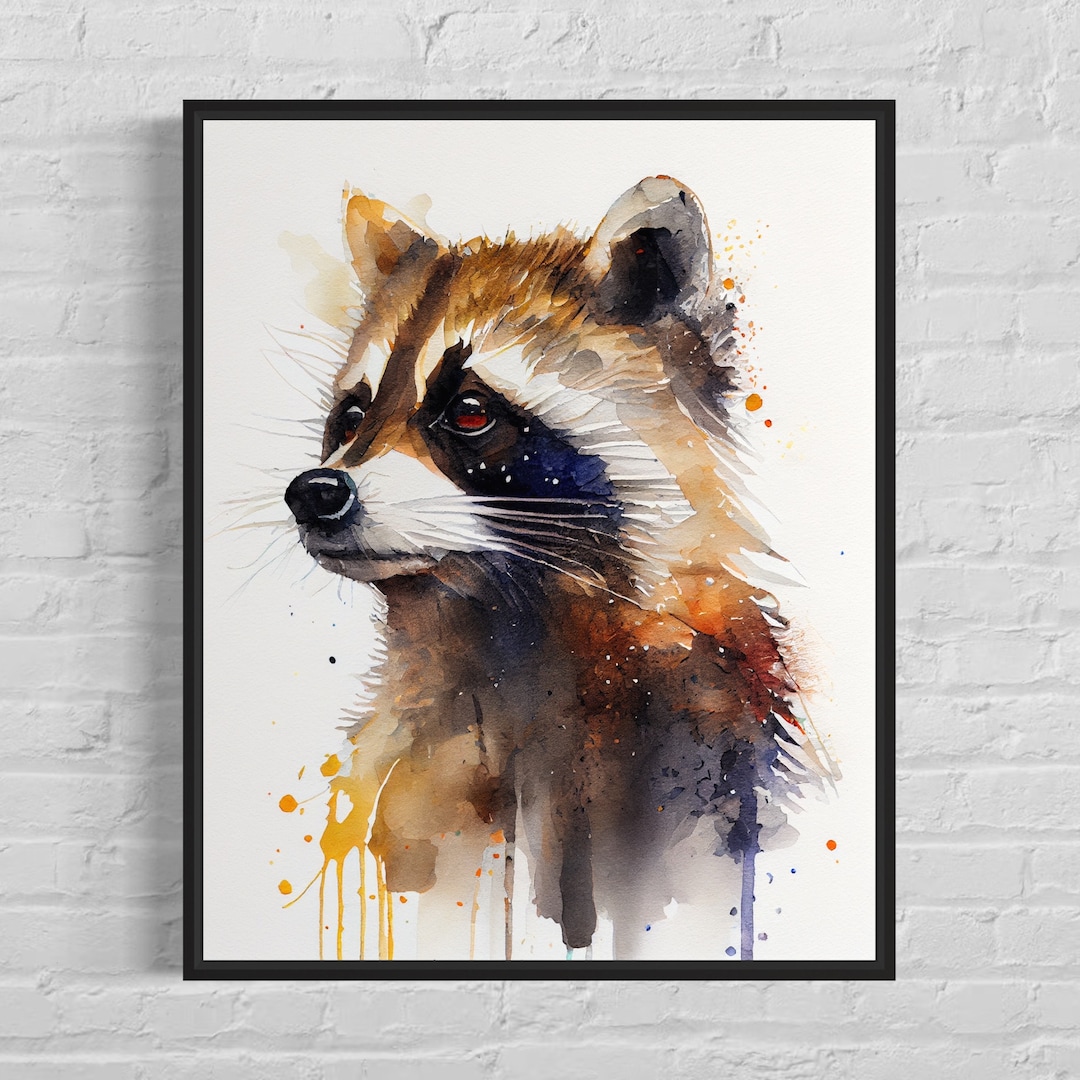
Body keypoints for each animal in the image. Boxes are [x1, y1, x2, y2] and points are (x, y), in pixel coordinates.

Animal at [282, 177, 828, 960]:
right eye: (352, 418)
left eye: (469, 410)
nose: (314, 493)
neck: (505, 616)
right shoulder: (426, 774)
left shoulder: (691, 757)